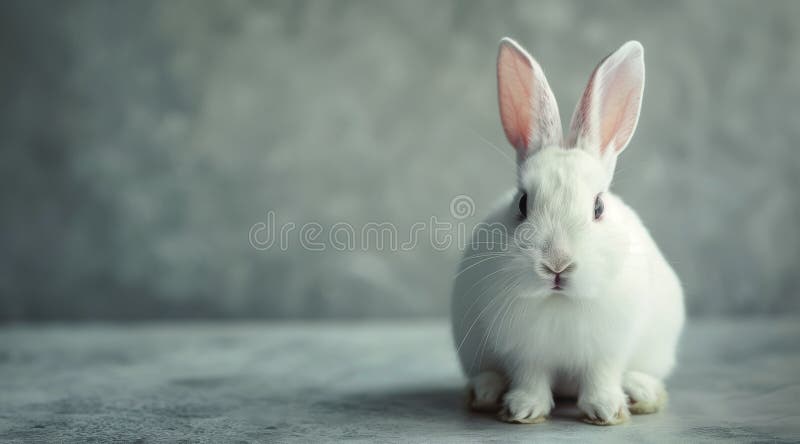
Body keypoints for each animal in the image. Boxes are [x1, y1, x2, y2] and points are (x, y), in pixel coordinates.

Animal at [450, 38, 685, 426]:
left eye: (598, 207)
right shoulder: (525, 352)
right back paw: (485, 392)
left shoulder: (607, 349)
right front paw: (524, 410)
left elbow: (601, 376)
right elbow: (530, 378)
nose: (556, 265)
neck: (560, 302)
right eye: (522, 203)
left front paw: (606, 410)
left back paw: (642, 392)